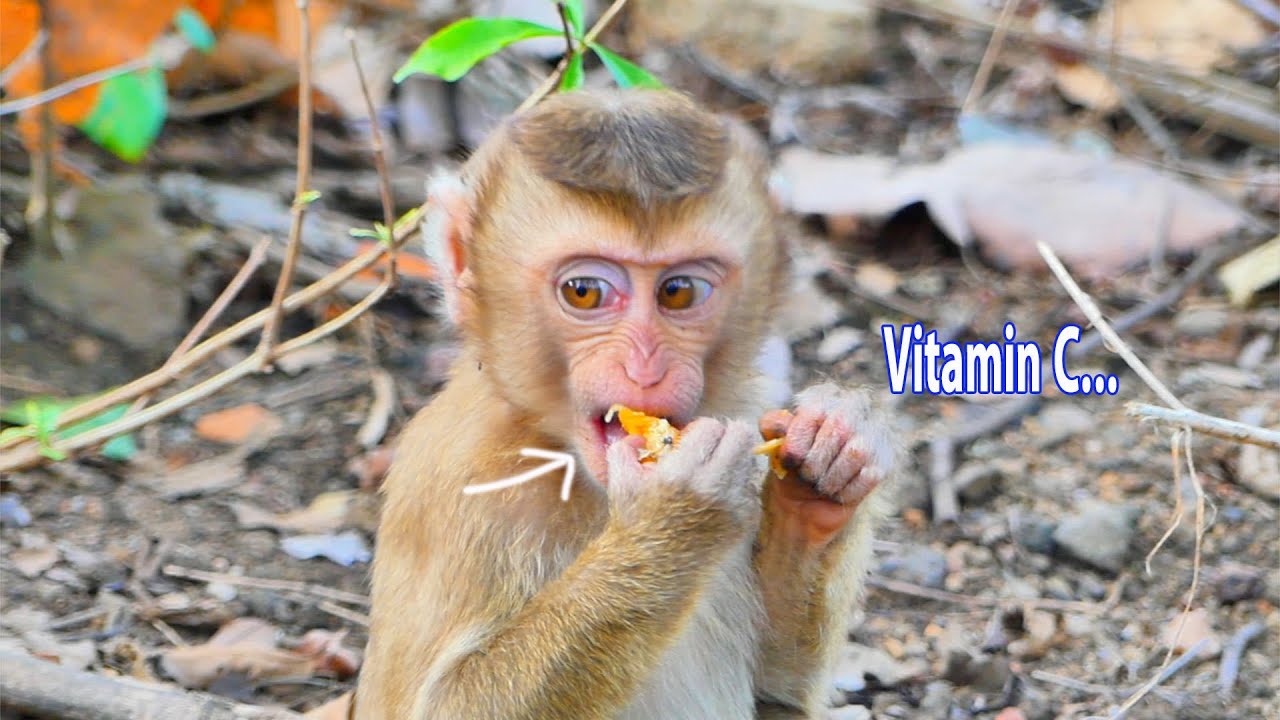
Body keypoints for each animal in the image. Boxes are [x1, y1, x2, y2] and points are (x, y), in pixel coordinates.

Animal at [353, 88, 897, 720]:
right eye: (584, 291)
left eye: (679, 292)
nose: (646, 367)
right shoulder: (462, 484)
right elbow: (444, 706)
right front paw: (676, 512)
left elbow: (777, 694)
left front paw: (830, 453)